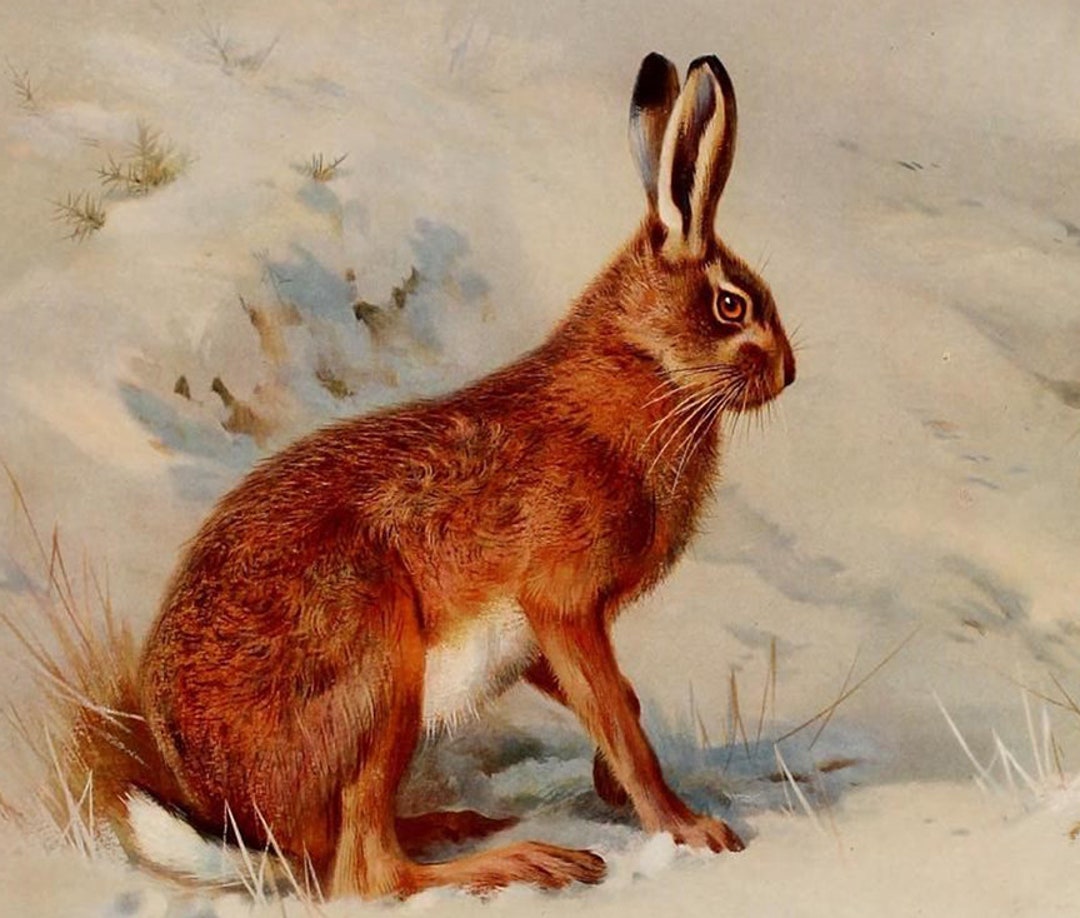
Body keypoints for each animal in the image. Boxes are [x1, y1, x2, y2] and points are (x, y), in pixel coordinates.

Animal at [105, 52, 796, 900]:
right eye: (731, 306)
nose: (789, 373)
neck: (646, 370)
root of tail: (237, 814)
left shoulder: (539, 634)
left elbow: (615, 702)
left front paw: (611, 786)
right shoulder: (562, 601)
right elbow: (617, 717)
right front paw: (687, 827)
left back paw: (455, 824)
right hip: (376, 673)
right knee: (367, 873)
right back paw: (527, 860)